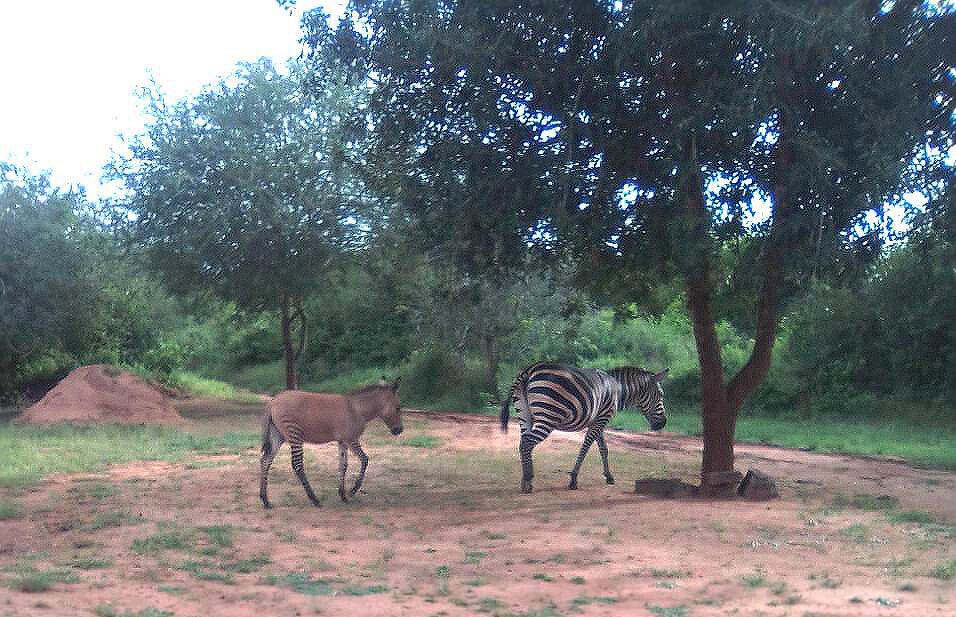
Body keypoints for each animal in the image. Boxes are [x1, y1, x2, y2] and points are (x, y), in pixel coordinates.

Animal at [500, 362, 668, 493]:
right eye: (661, 394)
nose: (663, 423)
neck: (618, 390)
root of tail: (529, 370)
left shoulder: (598, 420)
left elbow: (603, 449)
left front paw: (609, 476)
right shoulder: (602, 419)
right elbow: (585, 448)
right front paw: (573, 479)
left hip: (524, 415)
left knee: (523, 443)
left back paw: (525, 480)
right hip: (548, 415)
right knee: (527, 443)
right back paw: (528, 481)